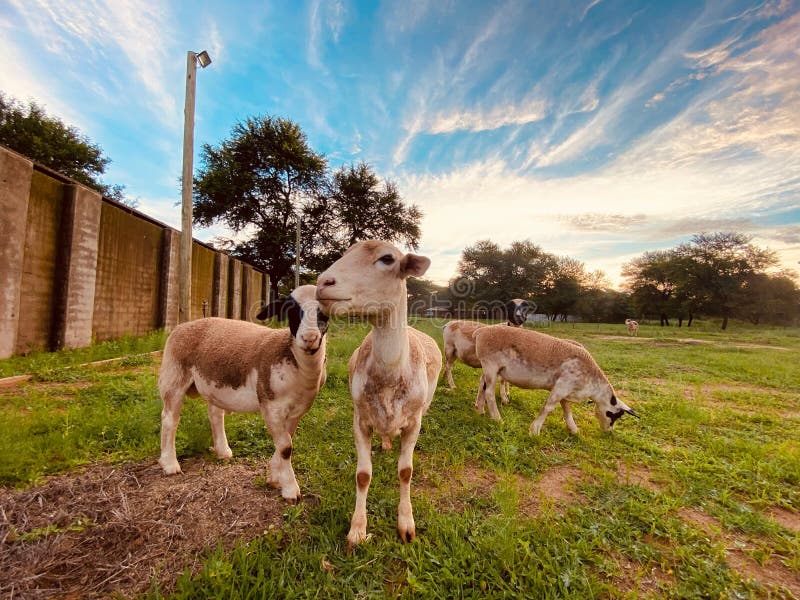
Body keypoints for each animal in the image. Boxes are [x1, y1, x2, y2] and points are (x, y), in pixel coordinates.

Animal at [157, 285, 328, 503]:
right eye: (291, 310)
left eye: (323, 312)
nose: (309, 339)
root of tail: (181, 326)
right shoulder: (270, 405)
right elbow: (285, 447)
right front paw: (290, 490)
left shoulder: (297, 410)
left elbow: (286, 442)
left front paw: (274, 478)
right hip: (174, 376)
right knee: (169, 419)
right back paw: (170, 464)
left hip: (214, 383)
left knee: (215, 414)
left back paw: (223, 451)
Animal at [316, 240, 442, 546]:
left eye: (387, 259)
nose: (322, 282)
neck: (389, 378)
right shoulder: (360, 419)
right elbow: (363, 475)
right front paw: (357, 530)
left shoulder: (414, 422)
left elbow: (406, 471)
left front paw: (406, 525)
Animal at [474, 325, 637, 435]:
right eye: (614, 415)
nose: (609, 431)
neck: (592, 383)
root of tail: (481, 331)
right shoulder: (563, 386)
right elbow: (549, 407)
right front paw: (535, 430)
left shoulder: (565, 389)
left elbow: (566, 409)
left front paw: (573, 429)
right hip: (491, 365)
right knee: (489, 393)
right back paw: (497, 419)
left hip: (491, 368)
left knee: (482, 384)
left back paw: (480, 409)